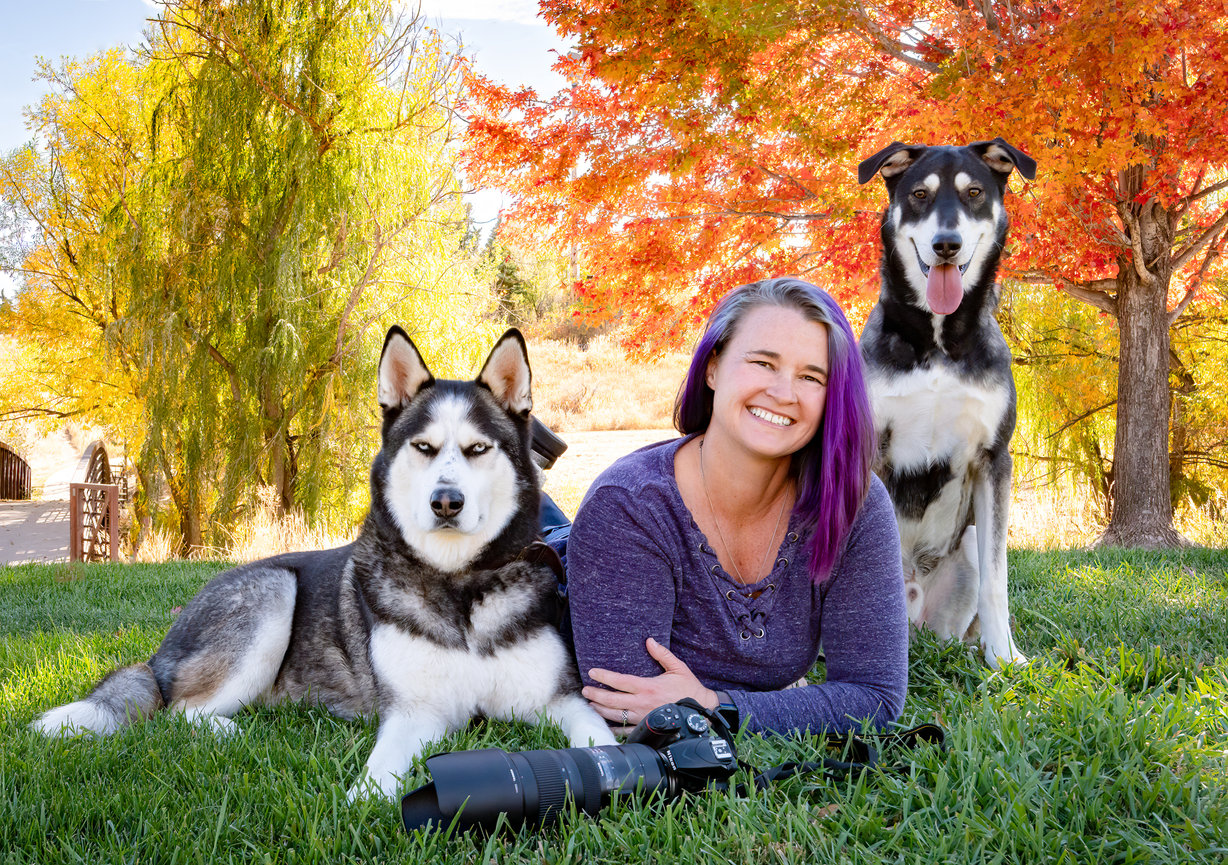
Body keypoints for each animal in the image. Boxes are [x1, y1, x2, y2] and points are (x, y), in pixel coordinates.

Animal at [32, 326, 615, 798]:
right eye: (424, 448)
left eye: (477, 450)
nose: (446, 502)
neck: (459, 583)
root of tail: (164, 646)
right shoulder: (414, 712)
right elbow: (380, 771)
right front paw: (365, 803)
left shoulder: (560, 699)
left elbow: (602, 741)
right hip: (273, 592)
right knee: (178, 713)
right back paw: (235, 730)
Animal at [856, 138, 1036, 668]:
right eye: (919, 194)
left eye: (974, 192)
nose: (946, 244)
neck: (936, 340)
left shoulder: (994, 458)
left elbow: (998, 582)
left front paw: (1006, 658)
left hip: (970, 544)